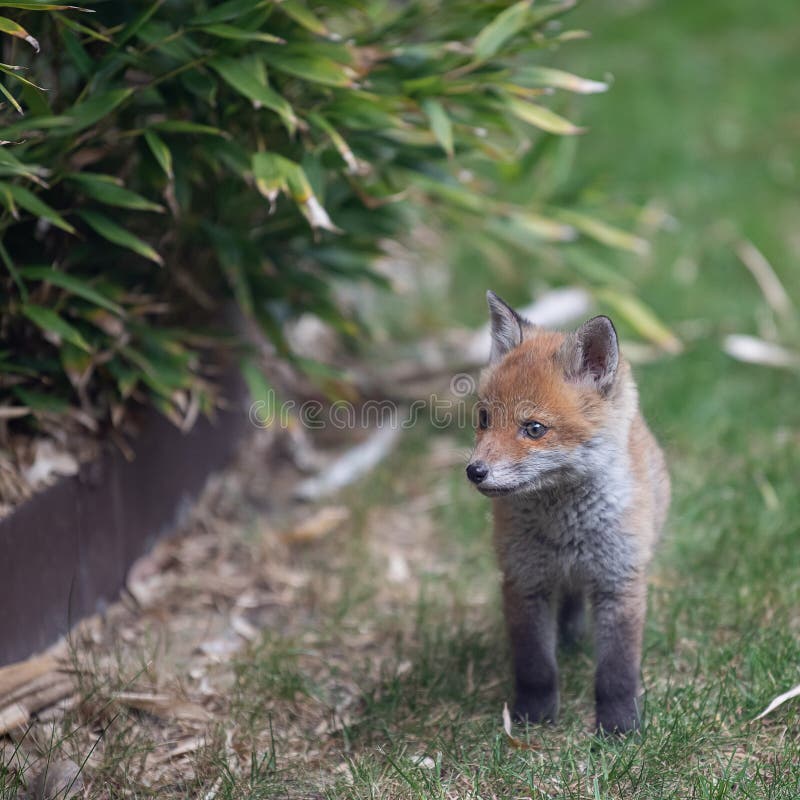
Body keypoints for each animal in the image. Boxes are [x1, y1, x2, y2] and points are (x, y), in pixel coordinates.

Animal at [466, 291, 670, 734]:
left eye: (534, 428)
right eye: (484, 419)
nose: (474, 471)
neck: (566, 533)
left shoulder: (619, 581)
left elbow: (617, 671)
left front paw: (618, 726)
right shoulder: (524, 581)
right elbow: (536, 667)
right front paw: (534, 717)